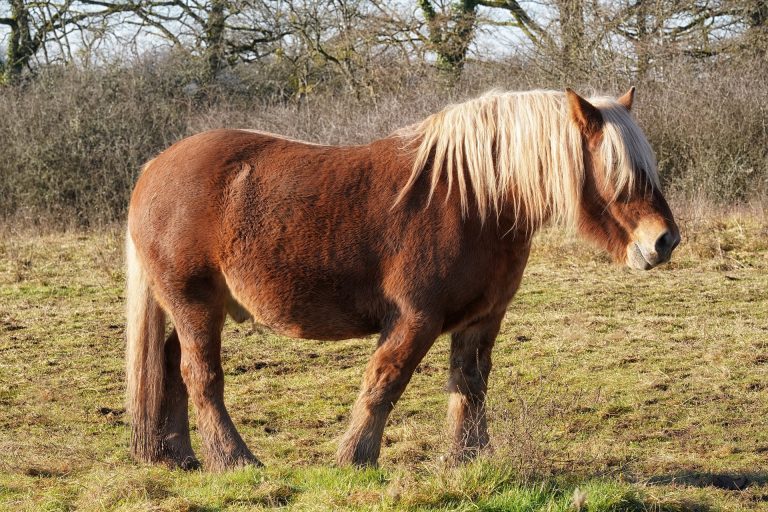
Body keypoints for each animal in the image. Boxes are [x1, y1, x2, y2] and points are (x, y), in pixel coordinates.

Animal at [125, 87, 680, 471]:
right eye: (618, 170)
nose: (665, 241)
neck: (472, 198)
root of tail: (153, 167)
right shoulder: (416, 318)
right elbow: (384, 383)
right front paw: (355, 458)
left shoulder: (481, 319)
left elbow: (469, 386)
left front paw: (465, 460)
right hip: (195, 304)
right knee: (201, 377)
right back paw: (234, 460)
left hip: (195, 308)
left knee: (170, 368)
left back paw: (177, 456)